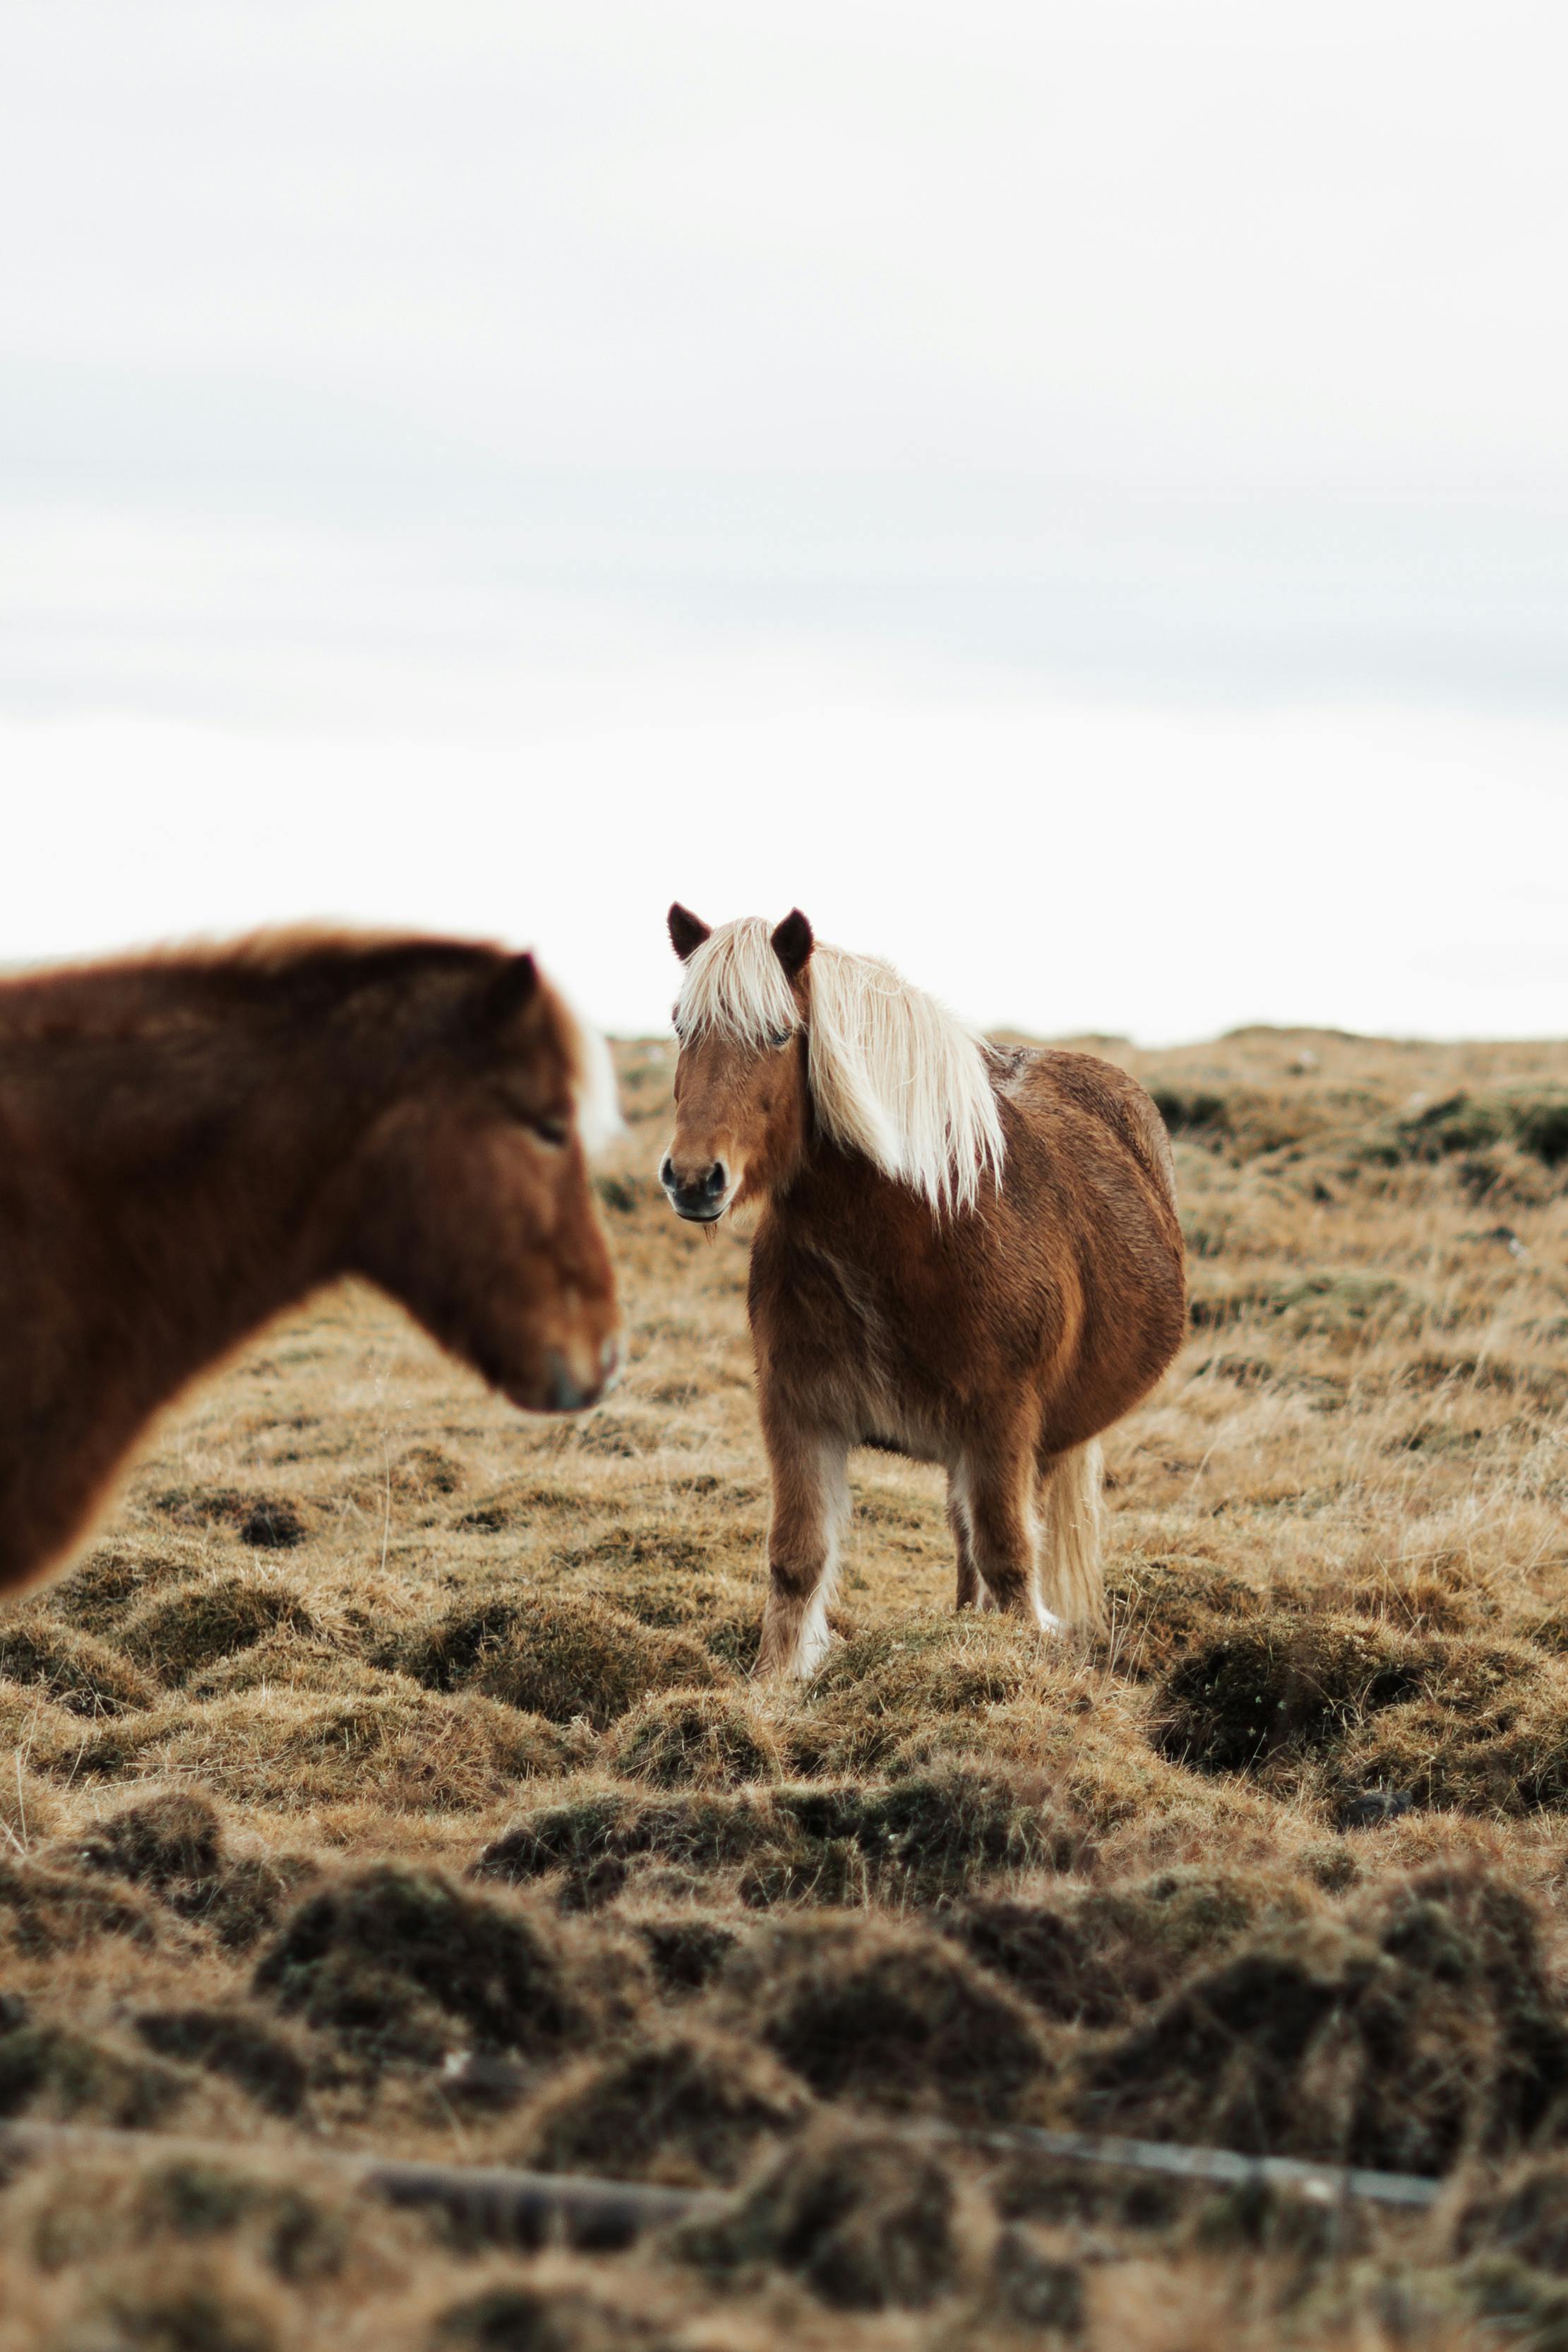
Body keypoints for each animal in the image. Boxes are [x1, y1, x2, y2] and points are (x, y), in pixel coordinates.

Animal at [659, 905, 1186, 1678]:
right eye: (680, 1028)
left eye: (780, 1033)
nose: (694, 1179)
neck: (910, 1232)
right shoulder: (797, 1410)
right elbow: (796, 1560)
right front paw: (773, 1684)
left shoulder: (1002, 1421)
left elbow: (1010, 1562)